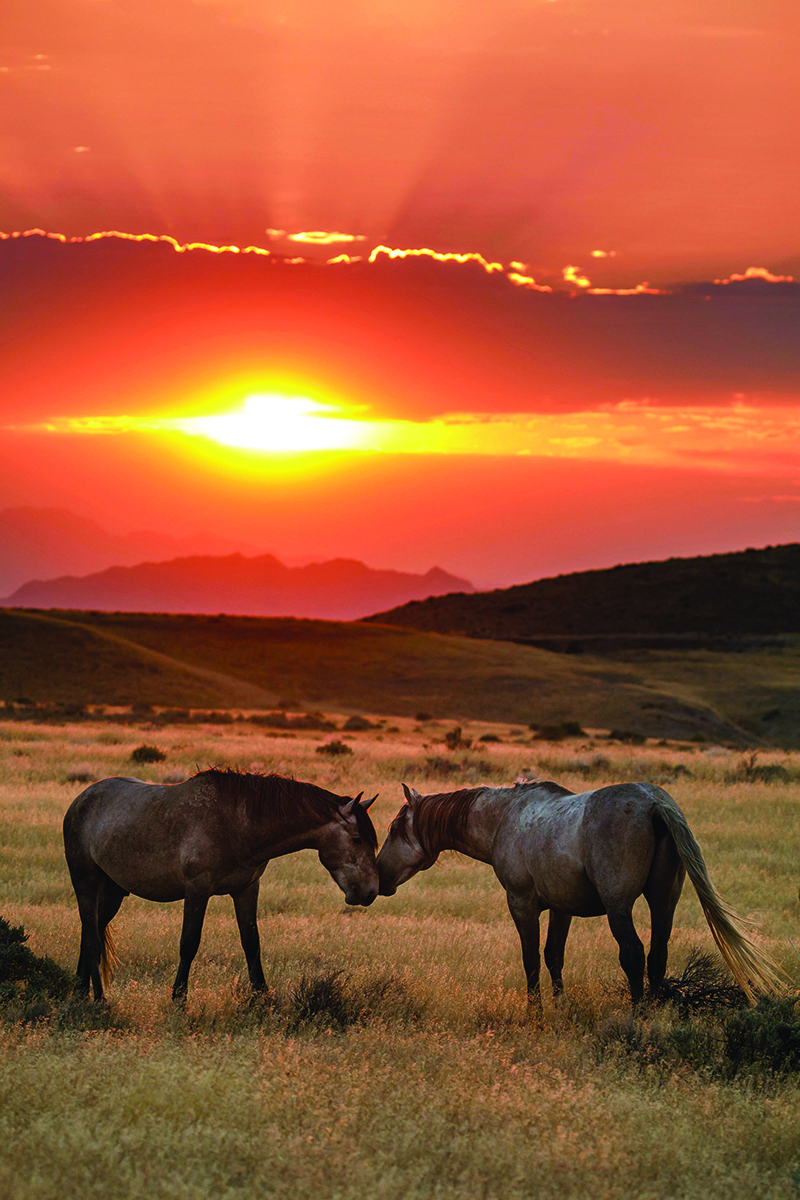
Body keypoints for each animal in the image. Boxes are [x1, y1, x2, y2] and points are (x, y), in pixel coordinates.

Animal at [63, 768, 379, 1001]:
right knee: (91, 936)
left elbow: (252, 942)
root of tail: (81, 799)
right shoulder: (197, 889)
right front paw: (179, 998)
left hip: (113, 891)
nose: (370, 892)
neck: (238, 824)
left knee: (91, 932)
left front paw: (261, 996)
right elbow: (189, 943)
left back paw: (81, 992)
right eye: (357, 839)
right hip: (85, 883)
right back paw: (96, 997)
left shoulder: (247, 889)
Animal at [377, 780, 783, 1007]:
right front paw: (562, 1008)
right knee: (657, 956)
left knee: (633, 954)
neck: (504, 819)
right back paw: (655, 1012)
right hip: (663, 902)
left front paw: (536, 1014)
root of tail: (654, 803)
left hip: (619, 907)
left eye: (395, 828)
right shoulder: (562, 908)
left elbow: (530, 960)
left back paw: (637, 1017)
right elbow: (554, 956)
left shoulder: (522, 904)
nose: (378, 875)